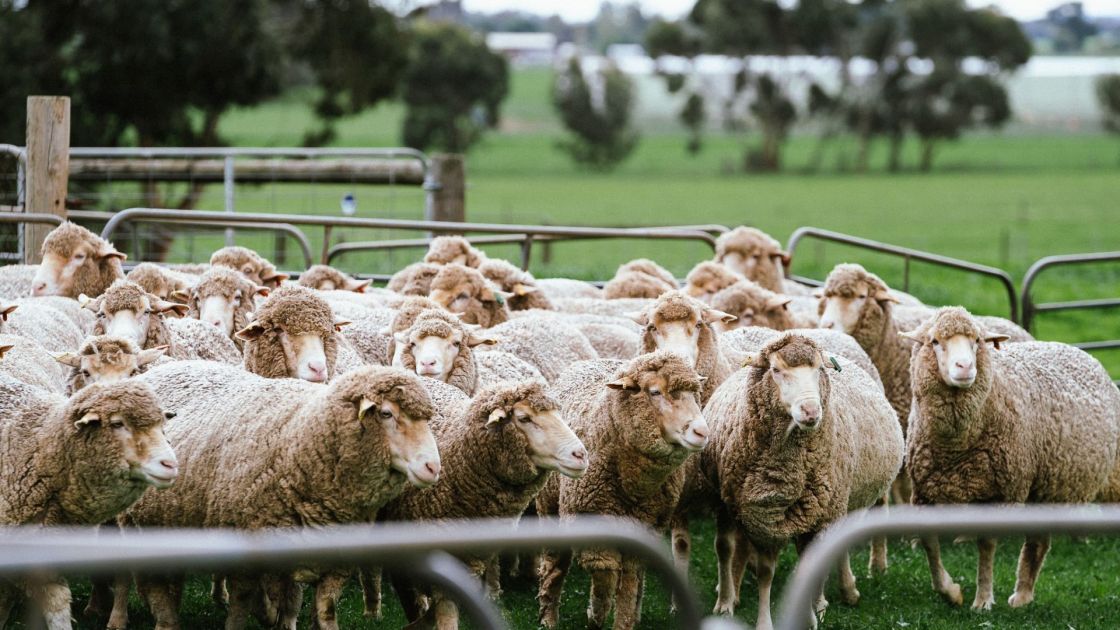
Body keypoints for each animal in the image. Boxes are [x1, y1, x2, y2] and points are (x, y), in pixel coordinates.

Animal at [122, 361, 441, 630]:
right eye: (386, 413)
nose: (433, 467)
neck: (303, 436)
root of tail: (161, 368)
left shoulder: (336, 559)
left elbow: (323, 610)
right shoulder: (255, 545)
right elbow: (254, 603)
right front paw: (262, 615)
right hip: (142, 525)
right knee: (155, 585)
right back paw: (164, 620)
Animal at [536, 352, 709, 630]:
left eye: (696, 394)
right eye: (655, 392)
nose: (702, 432)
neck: (633, 488)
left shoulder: (645, 524)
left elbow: (628, 582)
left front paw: (623, 620)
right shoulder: (590, 519)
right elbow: (605, 575)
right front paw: (595, 614)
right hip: (550, 504)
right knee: (554, 562)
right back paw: (548, 617)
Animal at [699, 334, 903, 630]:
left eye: (818, 369)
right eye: (776, 369)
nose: (810, 411)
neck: (786, 470)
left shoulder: (818, 513)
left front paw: (809, 617)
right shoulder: (762, 519)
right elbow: (764, 572)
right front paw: (760, 620)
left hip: (839, 504)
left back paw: (841, 593)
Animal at [902, 307, 1120, 611]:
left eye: (977, 341)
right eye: (934, 341)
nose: (965, 367)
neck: (955, 448)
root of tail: (1077, 350)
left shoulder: (999, 493)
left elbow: (986, 546)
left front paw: (982, 600)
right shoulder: (924, 492)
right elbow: (929, 543)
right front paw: (950, 592)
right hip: (1046, 486)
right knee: (1039, 541)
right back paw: (1023, 596)